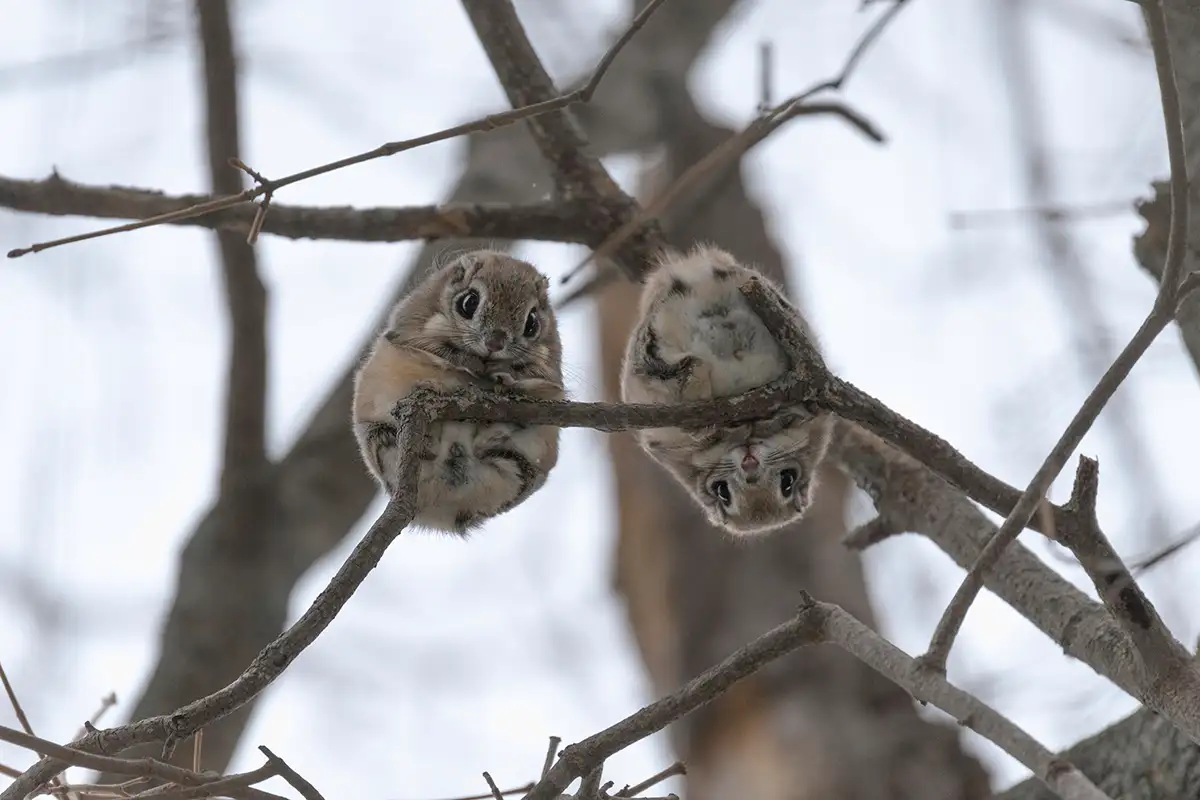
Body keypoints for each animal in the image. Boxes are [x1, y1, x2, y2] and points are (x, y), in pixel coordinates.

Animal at [352, 249, 565, 535]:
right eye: (469, 302)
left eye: (531, 323)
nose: (495, 343)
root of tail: (435, 509)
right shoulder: (410, 331)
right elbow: (445, 354)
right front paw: (469, 364)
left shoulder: (551, 376)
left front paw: (505, 376)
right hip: (378, 436)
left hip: (526, 465)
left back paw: (493, 433)